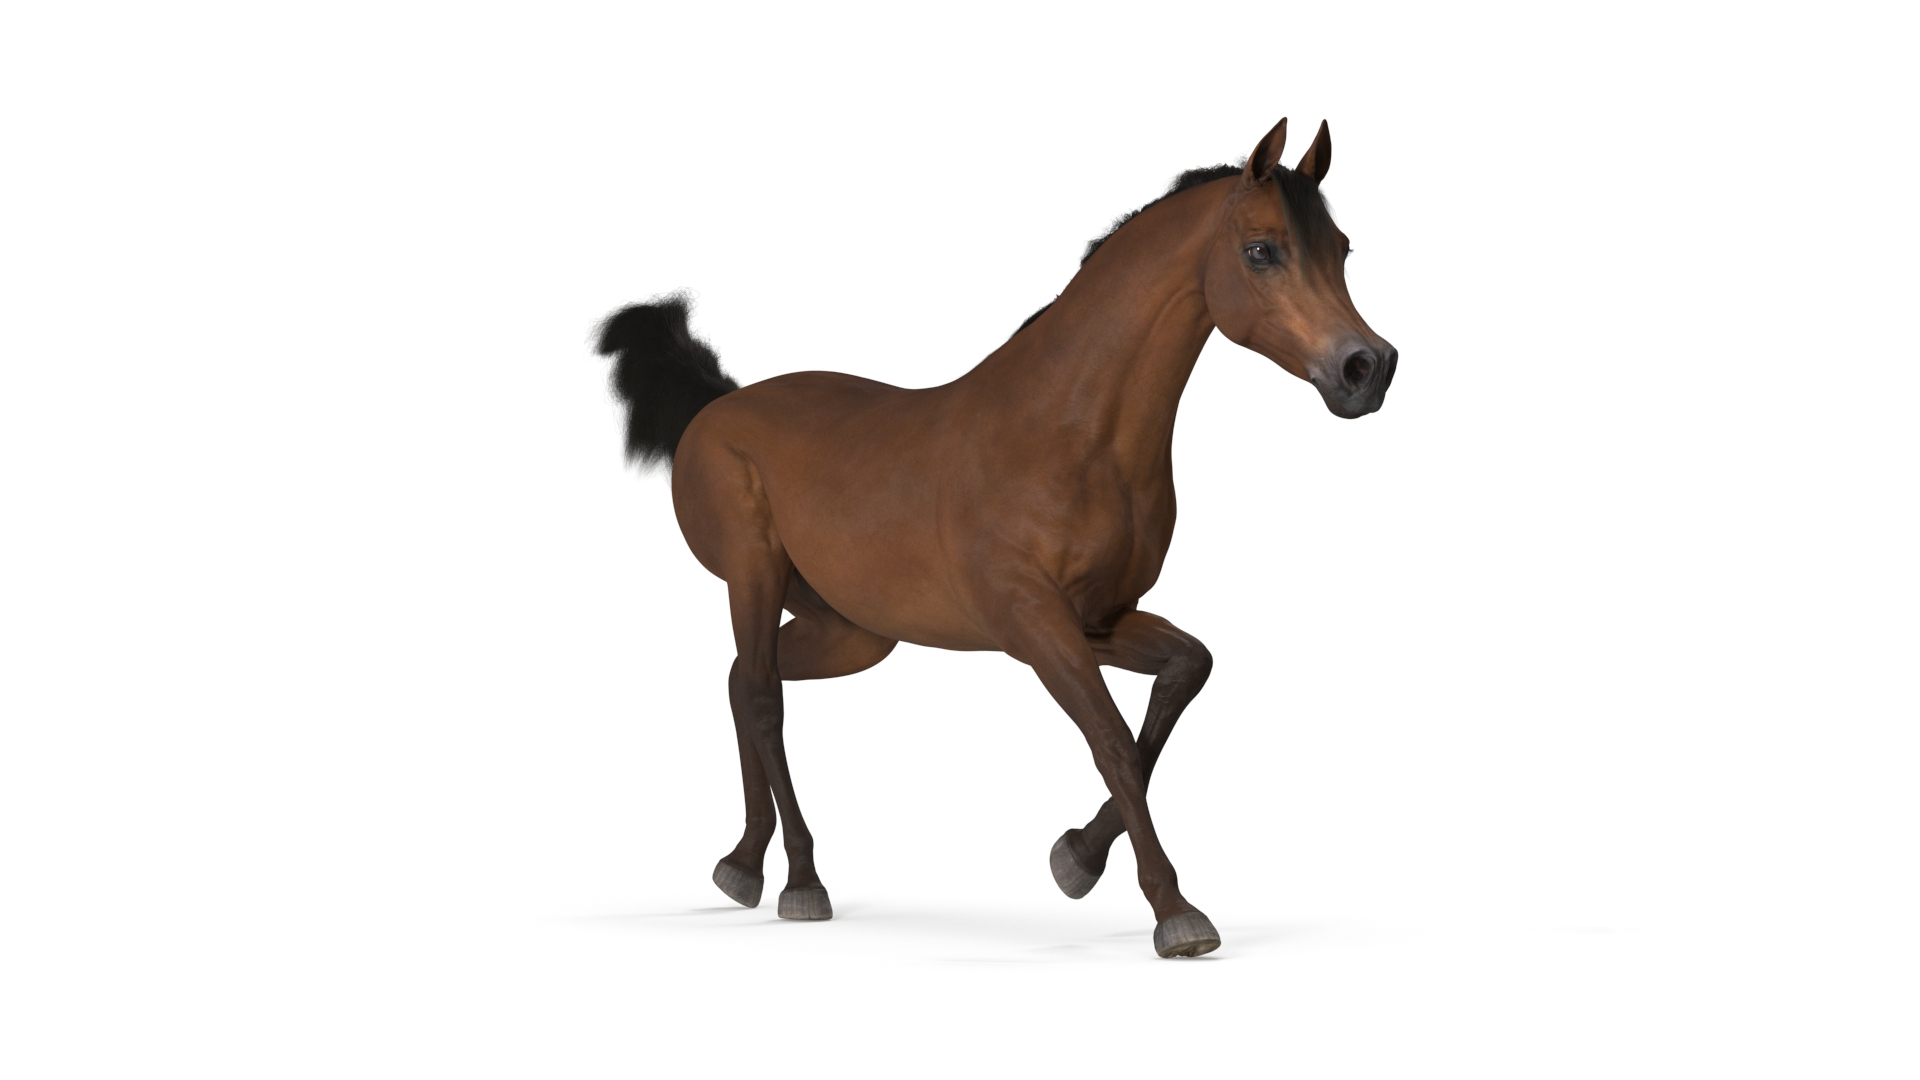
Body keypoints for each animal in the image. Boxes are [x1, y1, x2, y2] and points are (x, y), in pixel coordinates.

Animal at [594, 118, 1395, 958]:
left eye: (1341, 248)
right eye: (1262, 250)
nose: (1368, 368)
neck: (1070, 434)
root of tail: (715, 407)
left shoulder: (1098, 620)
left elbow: (1183, 676)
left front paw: (1076, 858)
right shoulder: (1032, 623)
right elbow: (1111, 739)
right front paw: (1175, 912)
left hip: (852, 631)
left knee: (744, 678)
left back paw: (743, 866)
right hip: (752, 574)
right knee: (759, 696)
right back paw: (800, 882)